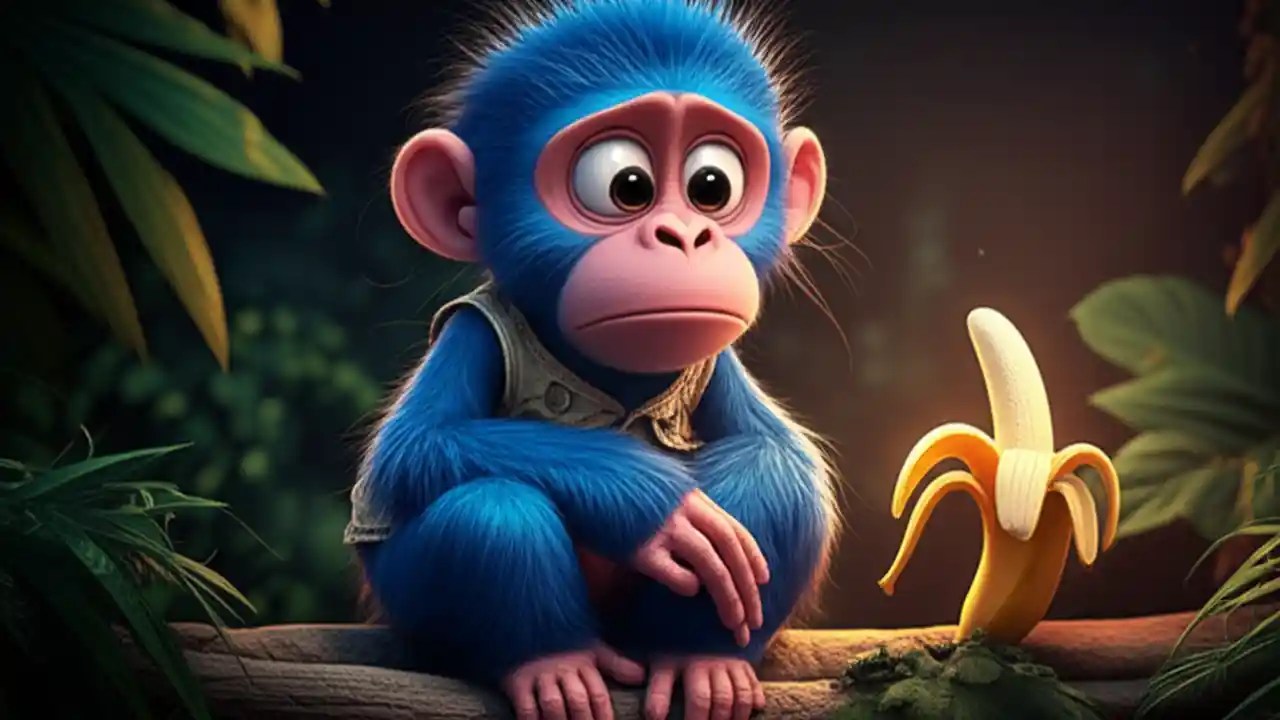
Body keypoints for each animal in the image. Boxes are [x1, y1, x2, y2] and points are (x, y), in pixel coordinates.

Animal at [344, 2, 839, 719]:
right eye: (625, 185)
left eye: (711, 185)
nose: (686, 234)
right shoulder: (474, 325)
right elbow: (413, 447)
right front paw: (652, 502)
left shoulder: (715, 356)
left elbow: (785, 454)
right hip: (404, 600)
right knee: (493, 510)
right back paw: (555, 664)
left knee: (768, 477)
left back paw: (702, 661)